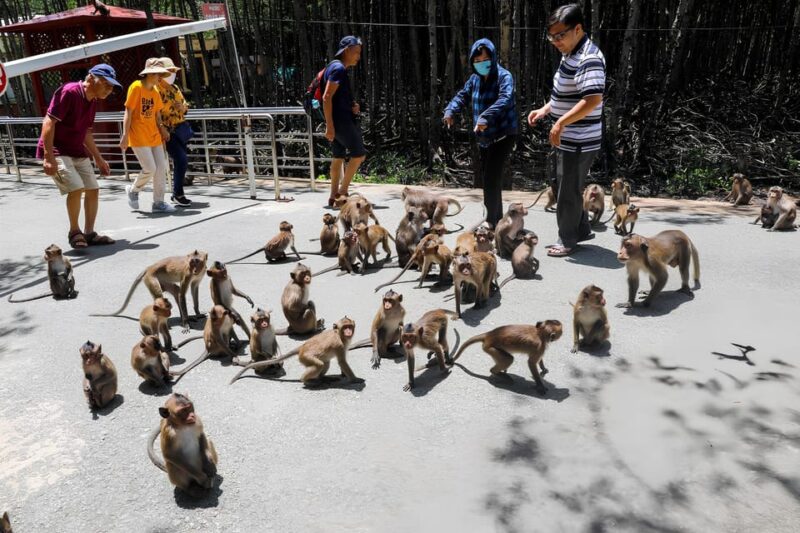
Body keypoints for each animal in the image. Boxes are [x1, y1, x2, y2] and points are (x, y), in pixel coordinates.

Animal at [230, 316, 362, 386]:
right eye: (345, 328)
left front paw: (344, 374)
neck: (340, 335)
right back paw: (307, 381)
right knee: (319, 365)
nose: (349, 332)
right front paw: (355, 379)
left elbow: (342, 362)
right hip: (305, 357)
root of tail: (303, 346)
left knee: (325, 363)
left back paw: (322, 378)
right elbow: (342, 362)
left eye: (350, 326)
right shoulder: (339, 345)